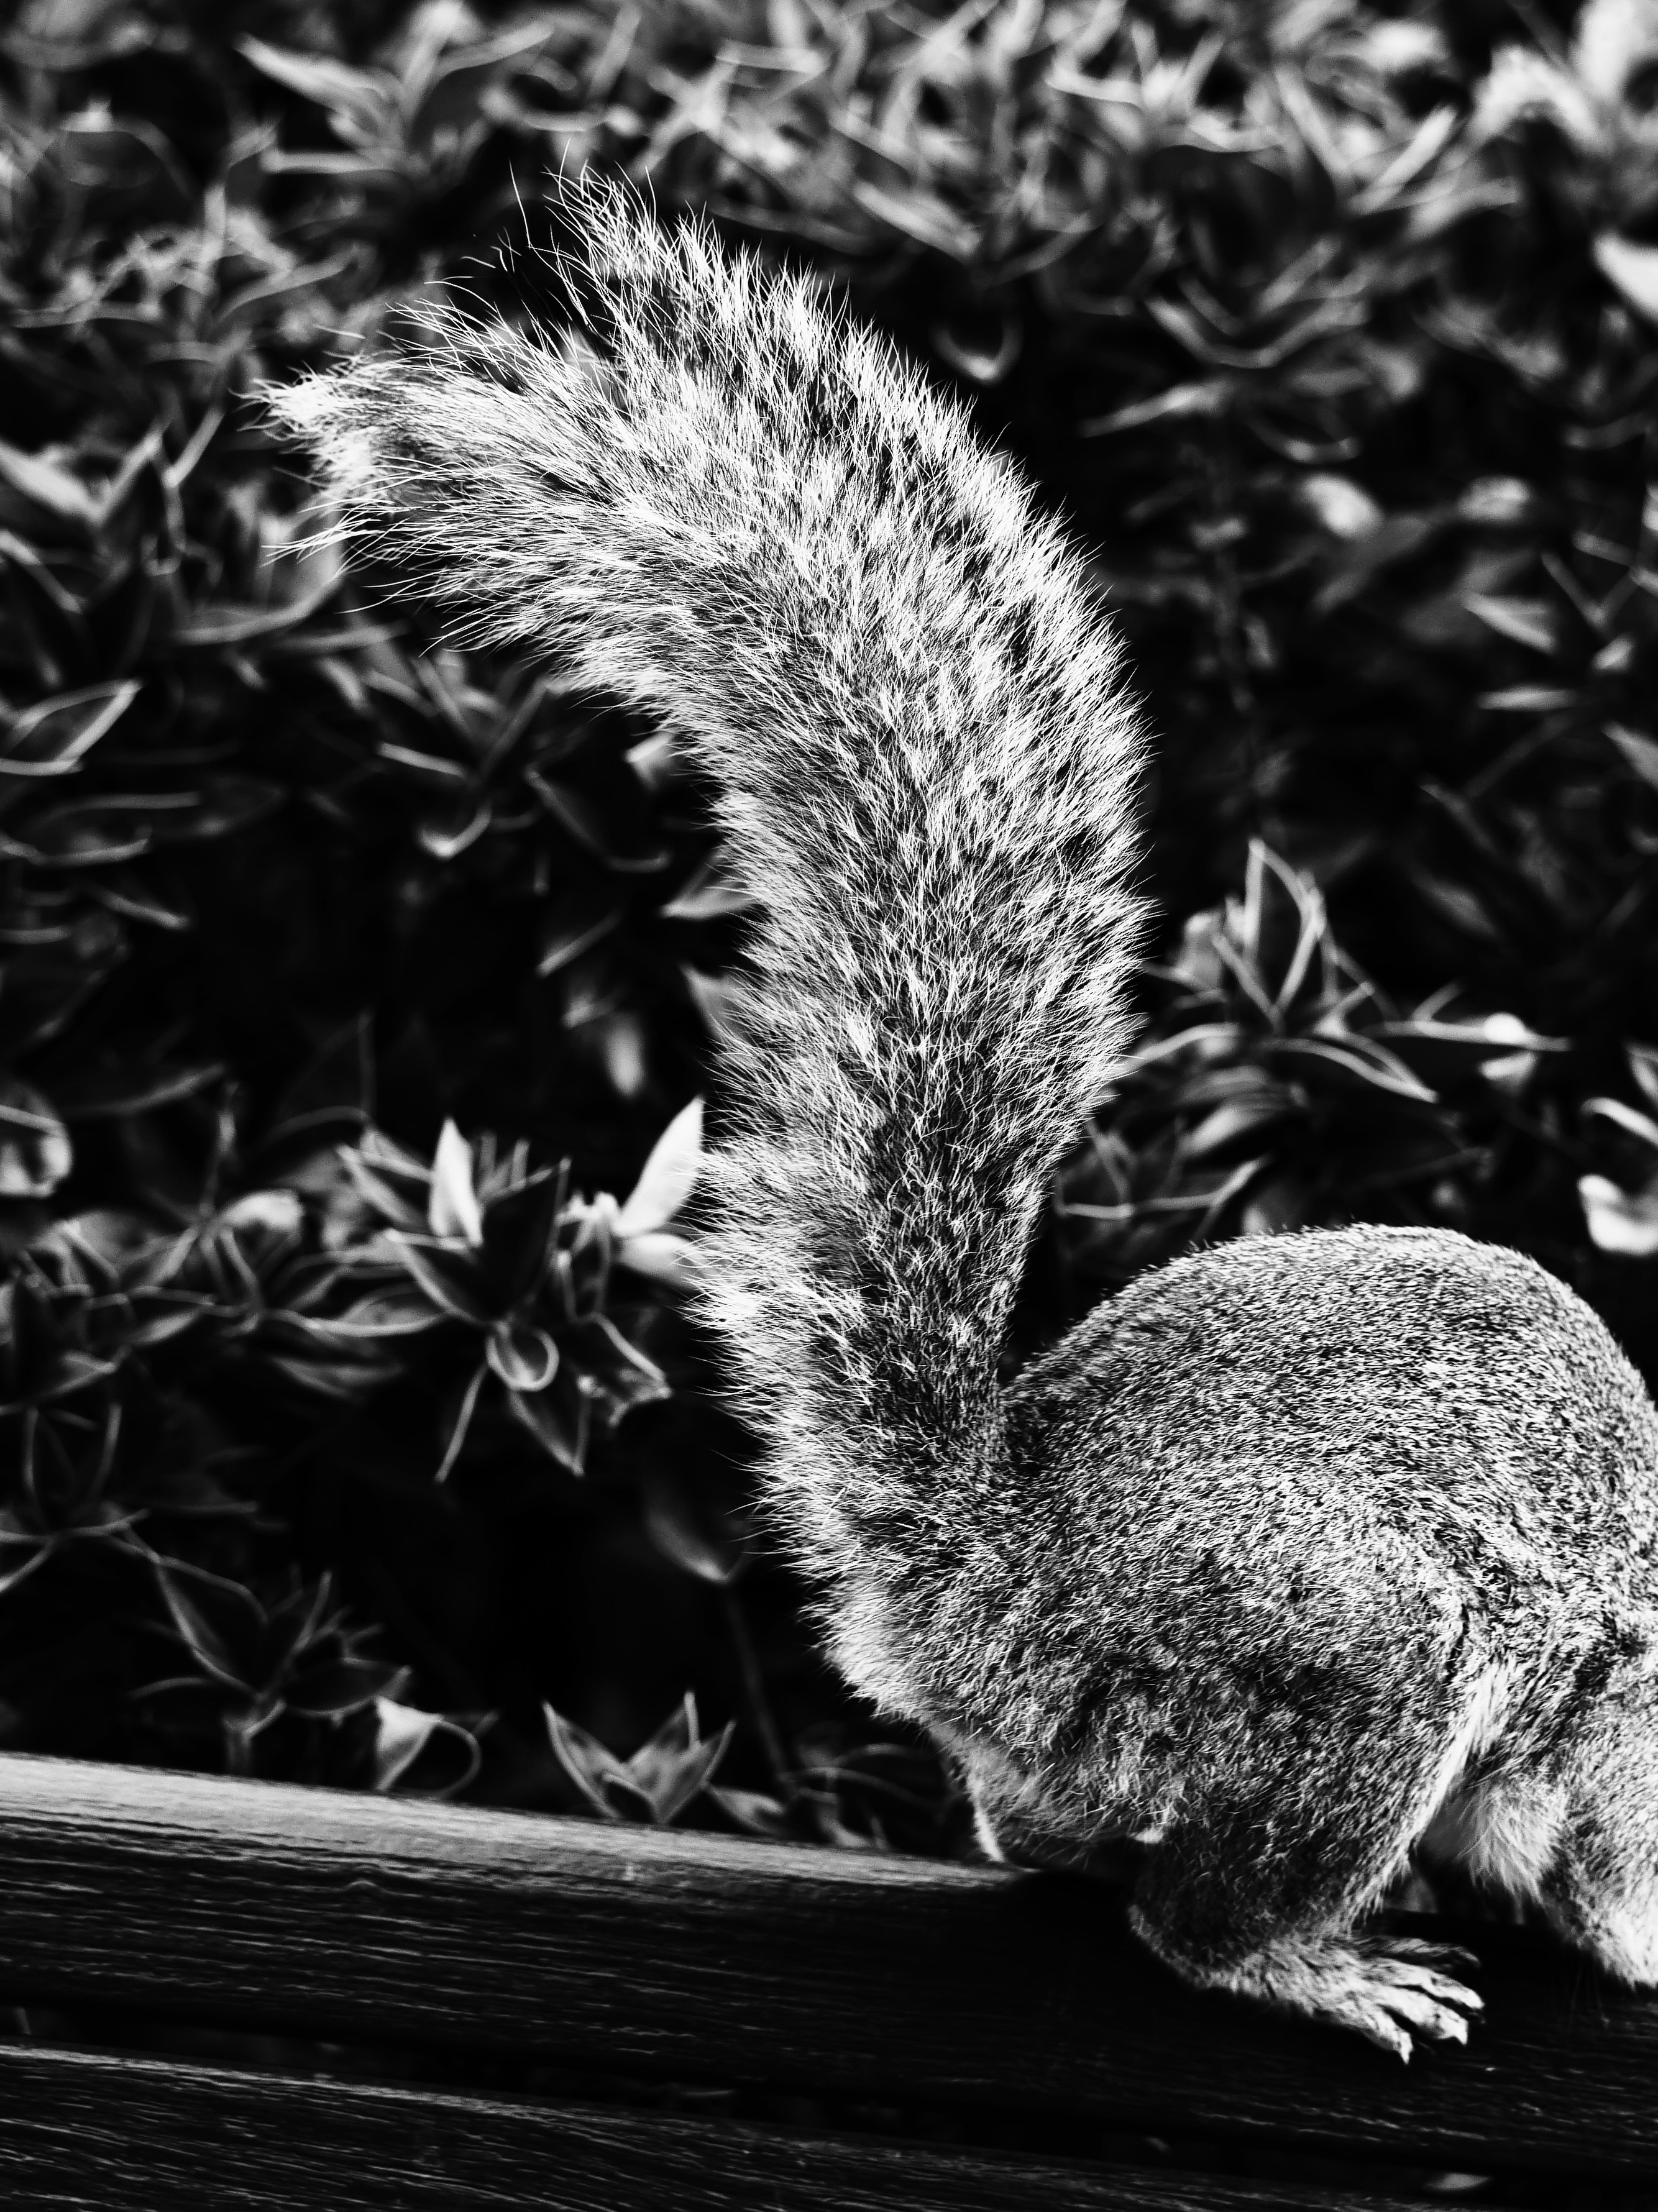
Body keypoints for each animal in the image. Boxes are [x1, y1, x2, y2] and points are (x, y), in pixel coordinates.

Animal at [272, 171, 1658, 2060]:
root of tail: (977, 1579)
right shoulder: (1624, 1719)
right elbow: (1608, 1866)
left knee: (1045, 1836)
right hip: (1357, 1646)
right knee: (1190, 1915)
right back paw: (1313, 1959)